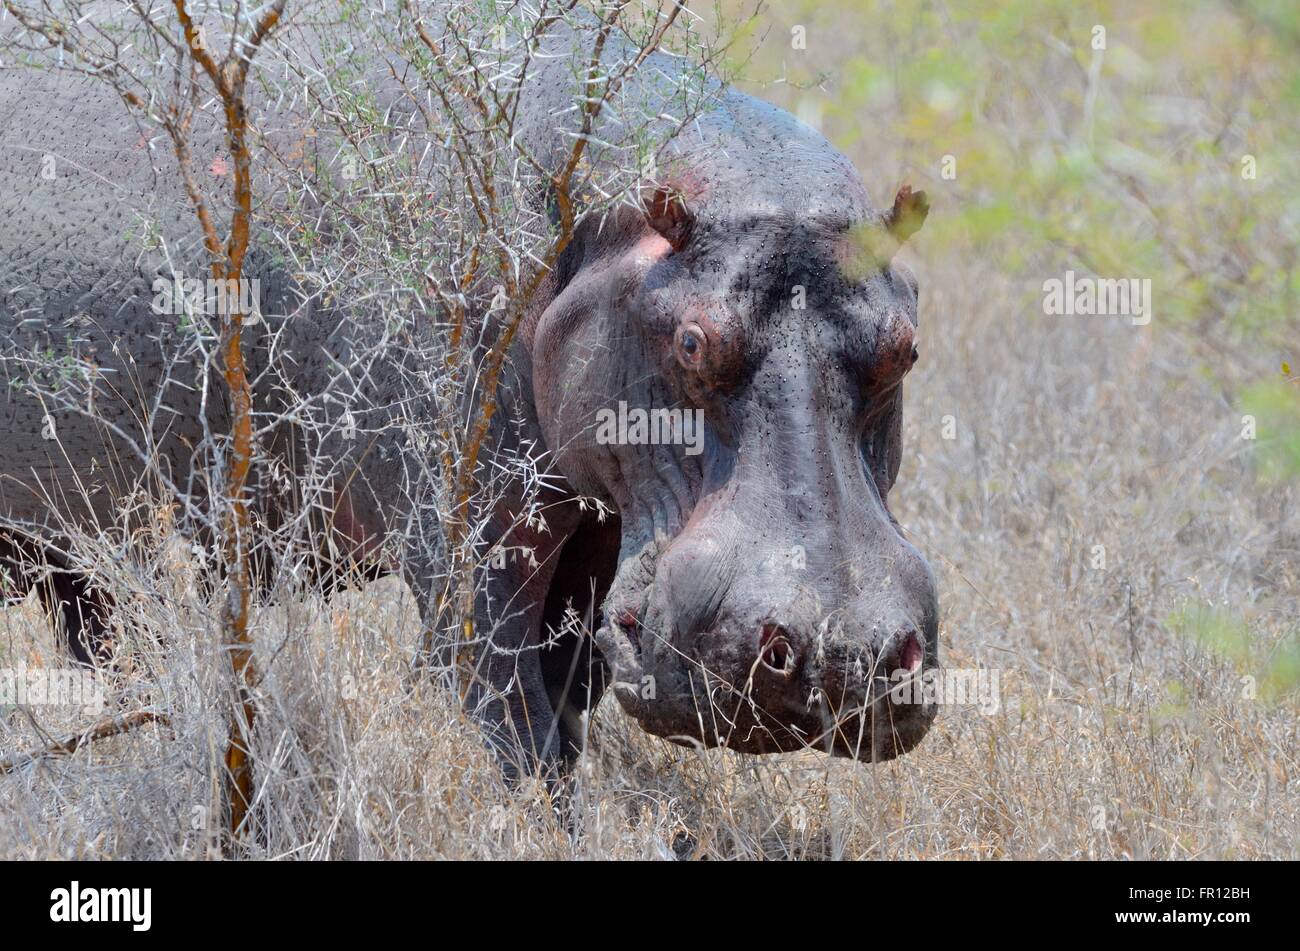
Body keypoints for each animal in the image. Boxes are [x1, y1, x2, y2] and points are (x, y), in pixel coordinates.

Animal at [0, 11, 938, 776]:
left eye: (907, 348)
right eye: (692, 340)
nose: (836, 658)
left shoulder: (597, 541)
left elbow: (566, 709)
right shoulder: (467, 549)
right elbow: (509, 720)